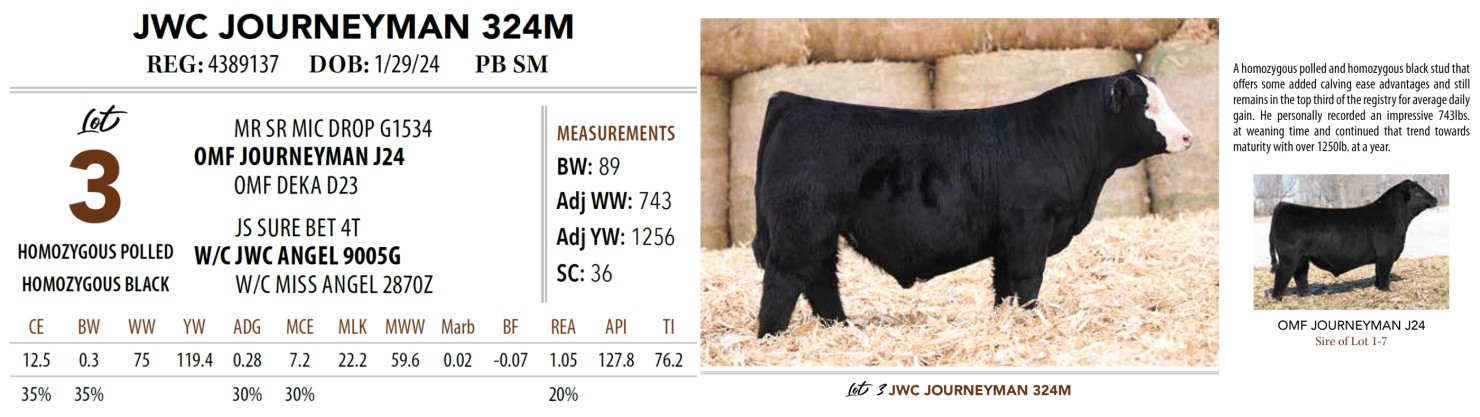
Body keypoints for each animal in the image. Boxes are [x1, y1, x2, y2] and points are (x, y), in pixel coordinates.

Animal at [750, 70, 1193, 338]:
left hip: (819, 233)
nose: (1188, 137)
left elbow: (1004, 285)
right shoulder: (1029, 226)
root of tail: (795, 101)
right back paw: (771, 337)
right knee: (783, 280)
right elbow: (1027, 280)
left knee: (821, 280)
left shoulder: (1006, 239)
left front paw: (1006, 321)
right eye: (1147, 105)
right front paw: (1027, 321)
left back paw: (842, 328)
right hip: (800, 228)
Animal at [1267, 179, 1438, 300]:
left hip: (1302, 258)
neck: (1395, 217)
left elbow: (1378, 276)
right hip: (1288, 258)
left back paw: (1307, 296)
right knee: (1280, 280)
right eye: (1418, 190)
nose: (1435, 199)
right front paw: (1387, 291)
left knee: (1301, 276)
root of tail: (1283, 205)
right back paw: (1278, 299)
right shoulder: (1386, 256)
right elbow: (1384, 276)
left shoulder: (1380, 258)